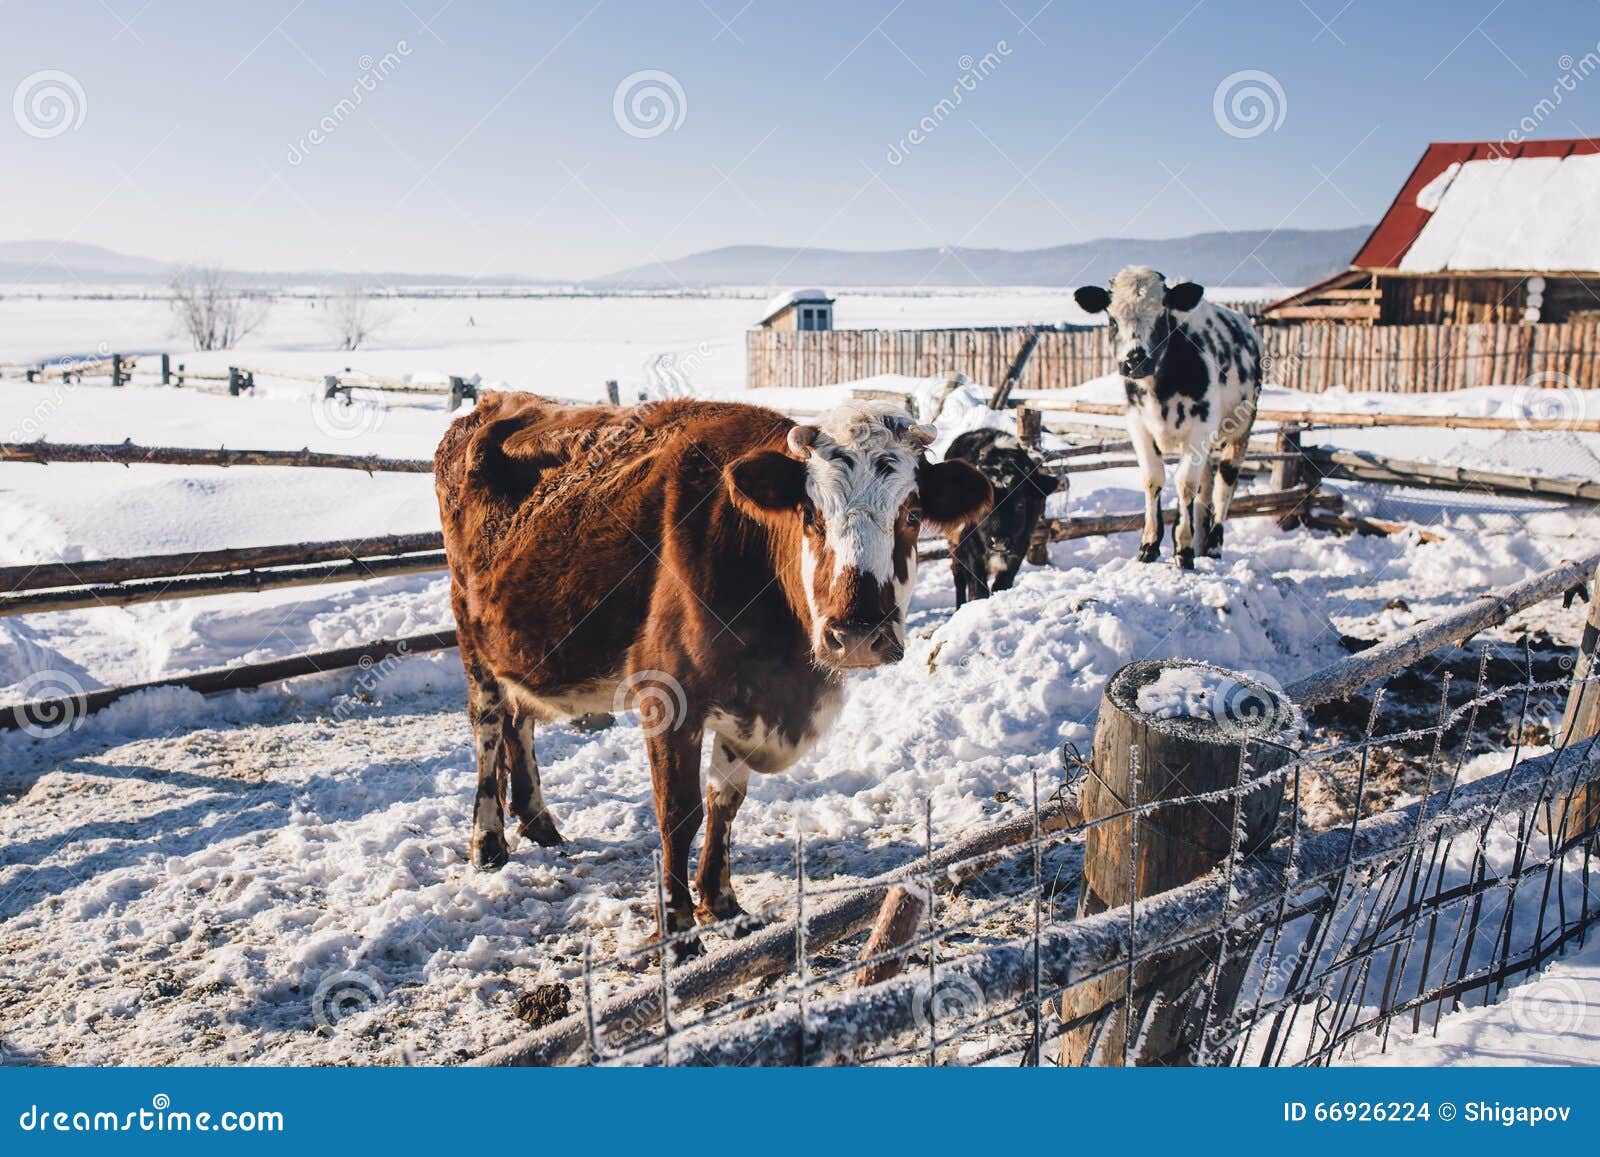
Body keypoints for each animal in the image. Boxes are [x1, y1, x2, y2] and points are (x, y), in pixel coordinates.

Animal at [434, 393, 991, 951]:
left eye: (912, 513)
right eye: (810, 513)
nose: (855, 635)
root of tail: (497, 403)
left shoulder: (746, 704)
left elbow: (725, 801)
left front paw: (721, 903)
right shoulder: (668, 697)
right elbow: (678, 812)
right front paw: (678, 932)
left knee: (520, 718)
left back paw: (538, 821)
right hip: (470, 632)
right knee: (488, 723)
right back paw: (488, 840)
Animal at [941, 428, 1060, 607]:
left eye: (1020, 505)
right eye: (983, 506)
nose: (999, 541)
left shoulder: (1021, 543)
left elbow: (1002, 584)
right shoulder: (968, 544)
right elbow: (977, 587)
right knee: (958, 576)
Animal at [1073, 267, 1262, 569]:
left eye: (1162, 315)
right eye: (1112, 318)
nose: (1135, 360)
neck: (1159, 388)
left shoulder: (1200, 428)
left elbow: (1185, 484)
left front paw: (1182, 548)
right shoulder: (1138, 425)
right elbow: (1153, 479)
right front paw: (1149, 545)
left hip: (1241, 426)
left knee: (1225, 485)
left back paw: (1212, 545)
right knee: (1206, 488)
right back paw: (1201, 542)